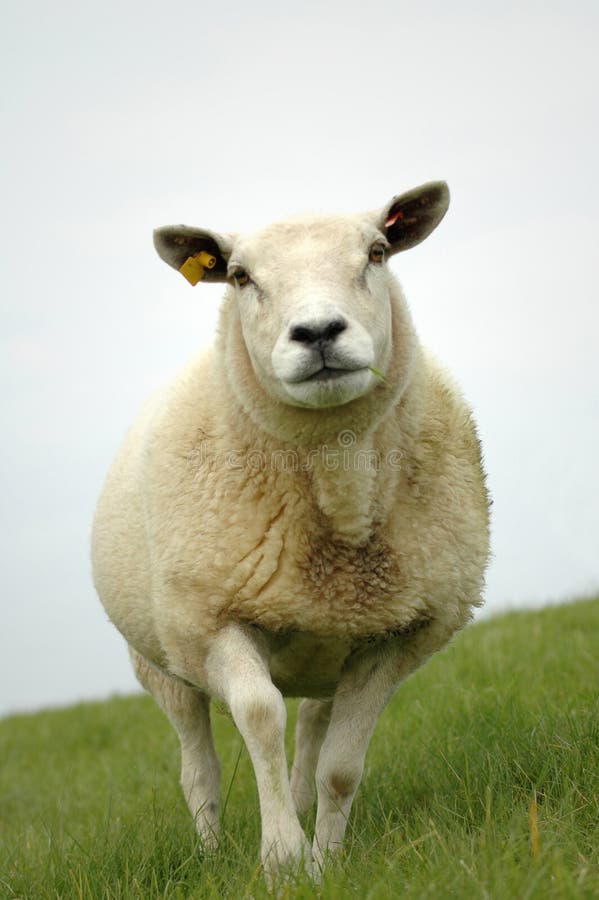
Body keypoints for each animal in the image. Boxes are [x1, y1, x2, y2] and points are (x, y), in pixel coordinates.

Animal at [92, 181, 490, 880]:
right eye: (240, 276)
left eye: (377, 252)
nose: (319, 332)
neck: (340, 494)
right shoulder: (214, 622)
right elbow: (258, 719)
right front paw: (281, 859)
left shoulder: (394, 634)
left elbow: (341, 766)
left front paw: (327, 863)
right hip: (160, 661)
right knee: (200, 768)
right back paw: (210, 849)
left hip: (326, 647)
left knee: (312, 732)